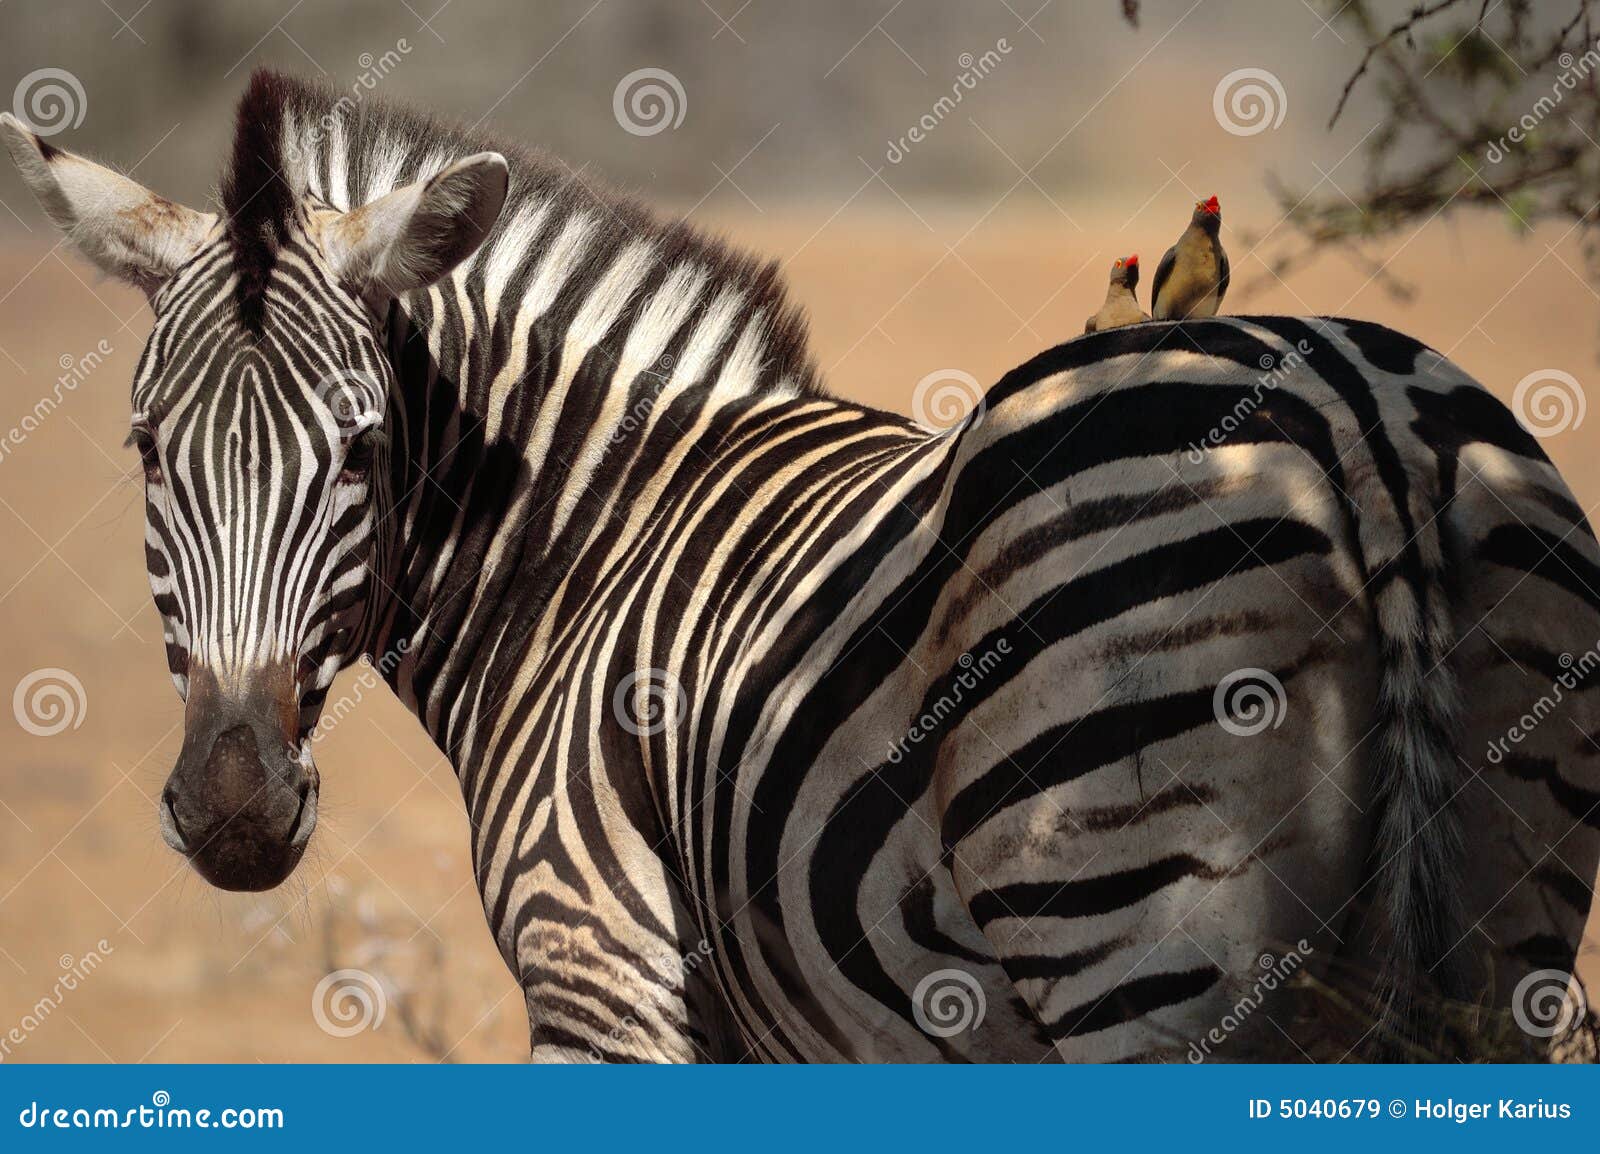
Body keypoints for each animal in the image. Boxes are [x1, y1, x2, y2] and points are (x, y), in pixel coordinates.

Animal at [3, 69, 1597, 1062]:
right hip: (1504, 938)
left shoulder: (601, 968)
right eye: (145, 450)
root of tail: (1346, 402)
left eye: (360, 448)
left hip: (1140, 941)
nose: (233, 812)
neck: (589, 541)